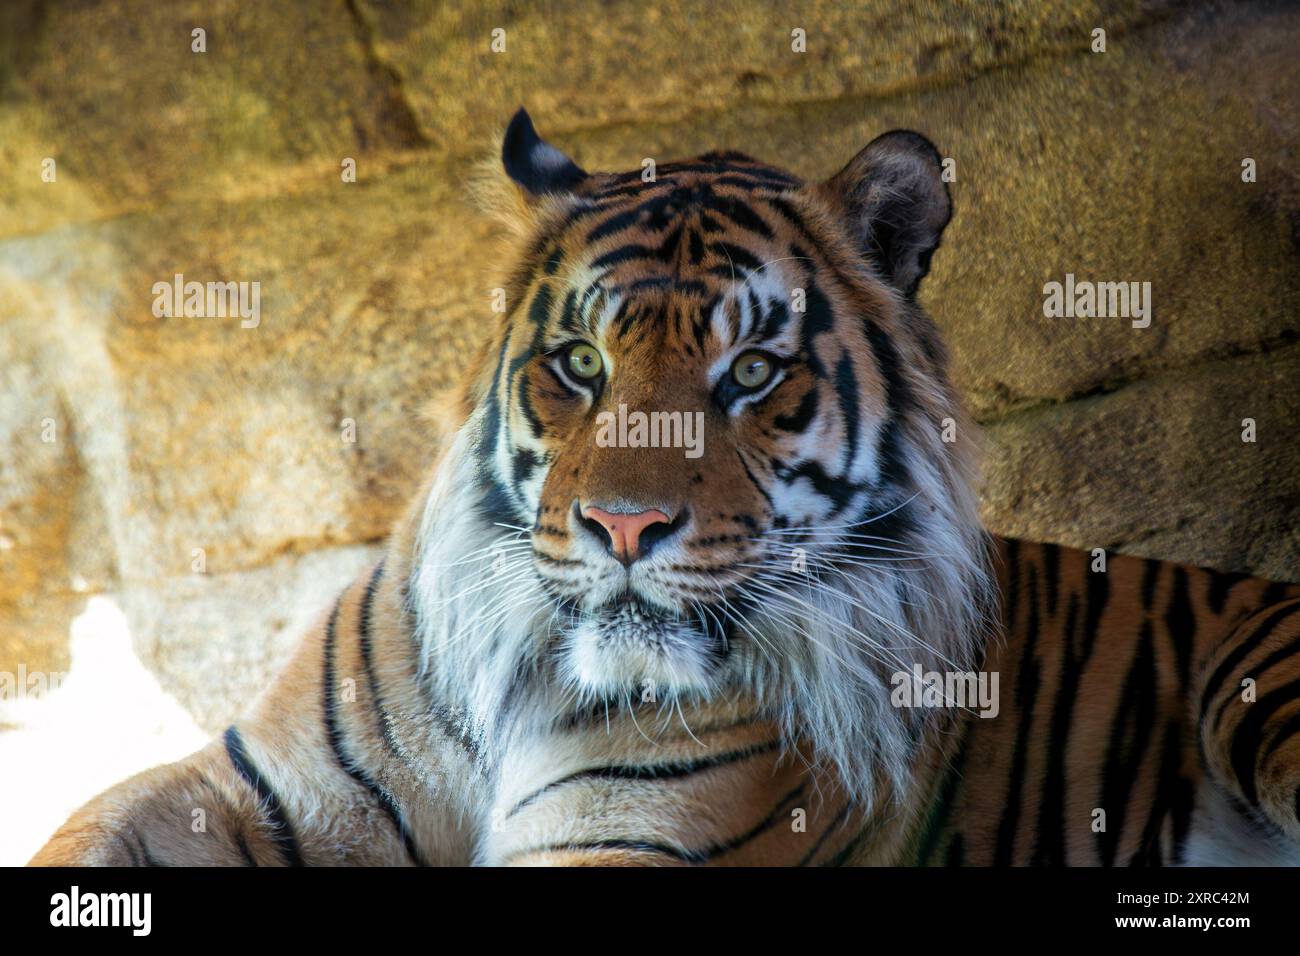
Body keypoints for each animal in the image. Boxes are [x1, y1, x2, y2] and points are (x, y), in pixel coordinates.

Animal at [31, 108, 1300, 867]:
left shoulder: (625, 837)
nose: (624, 525)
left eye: (751, 372)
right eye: (580, 362)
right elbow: (81, 831)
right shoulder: (259, 782)